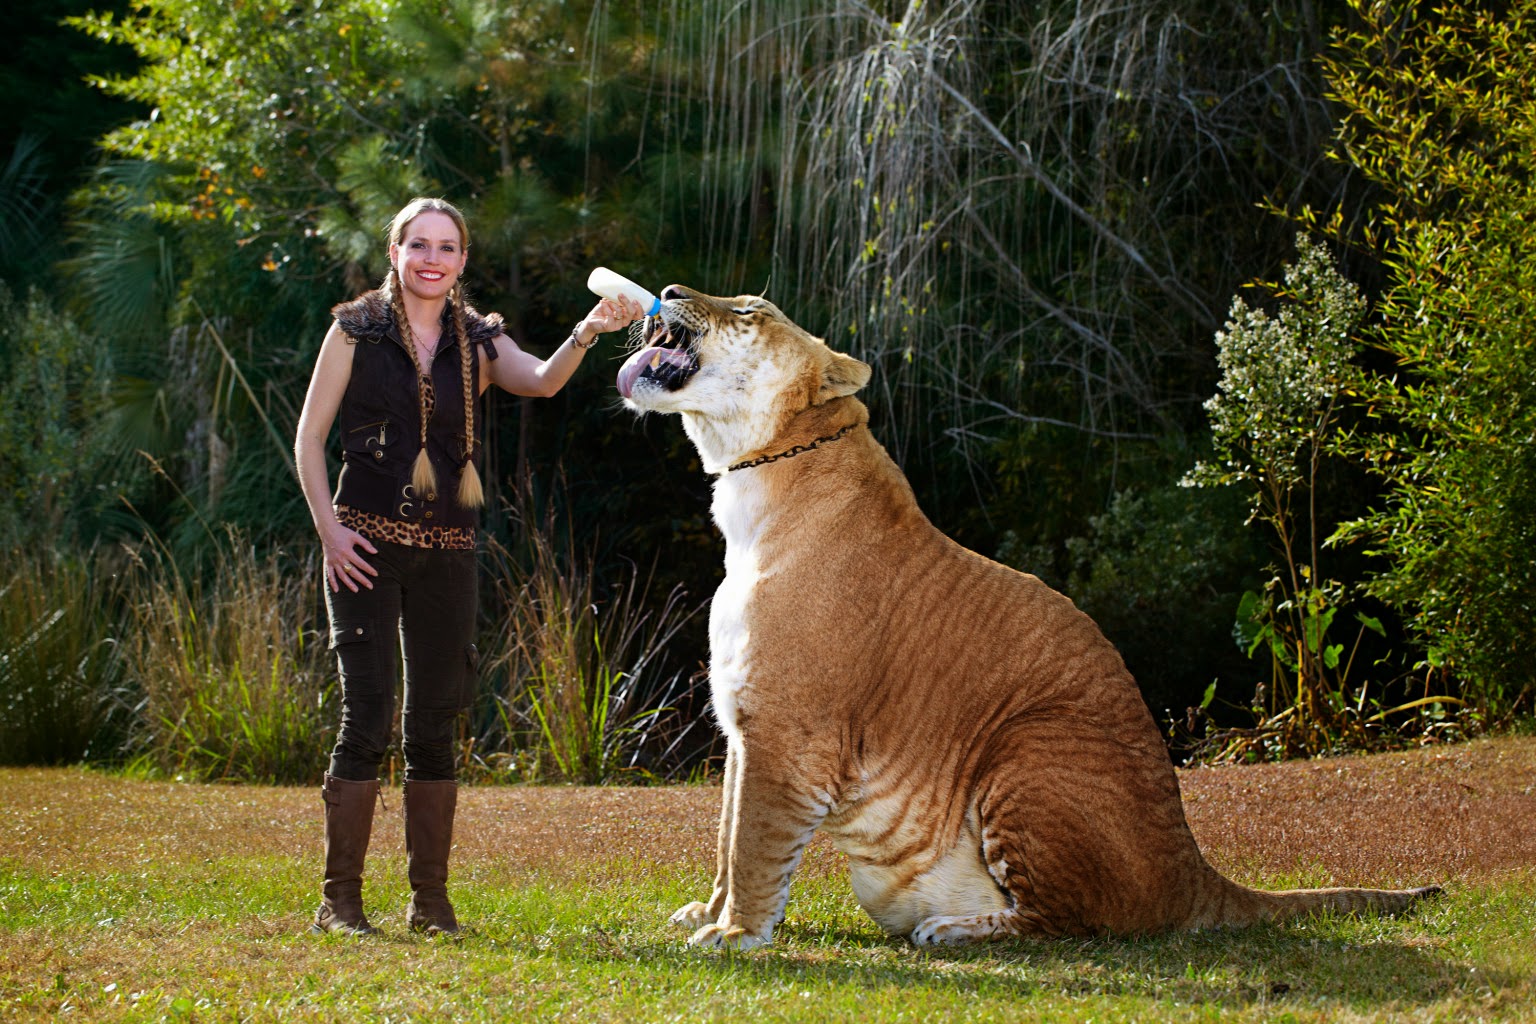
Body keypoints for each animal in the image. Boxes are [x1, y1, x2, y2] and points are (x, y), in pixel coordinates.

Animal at [616, 284, 1441, 949]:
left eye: (750, 311)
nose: (668, 290)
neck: (751, 482)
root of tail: (1193, 866)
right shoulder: (743, 724)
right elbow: (728, 833)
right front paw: (709, 912)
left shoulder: (789, 728)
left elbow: (756, 840)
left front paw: (735, 934)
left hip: (1026, 754)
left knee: (1072, 921)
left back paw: (953, 929)